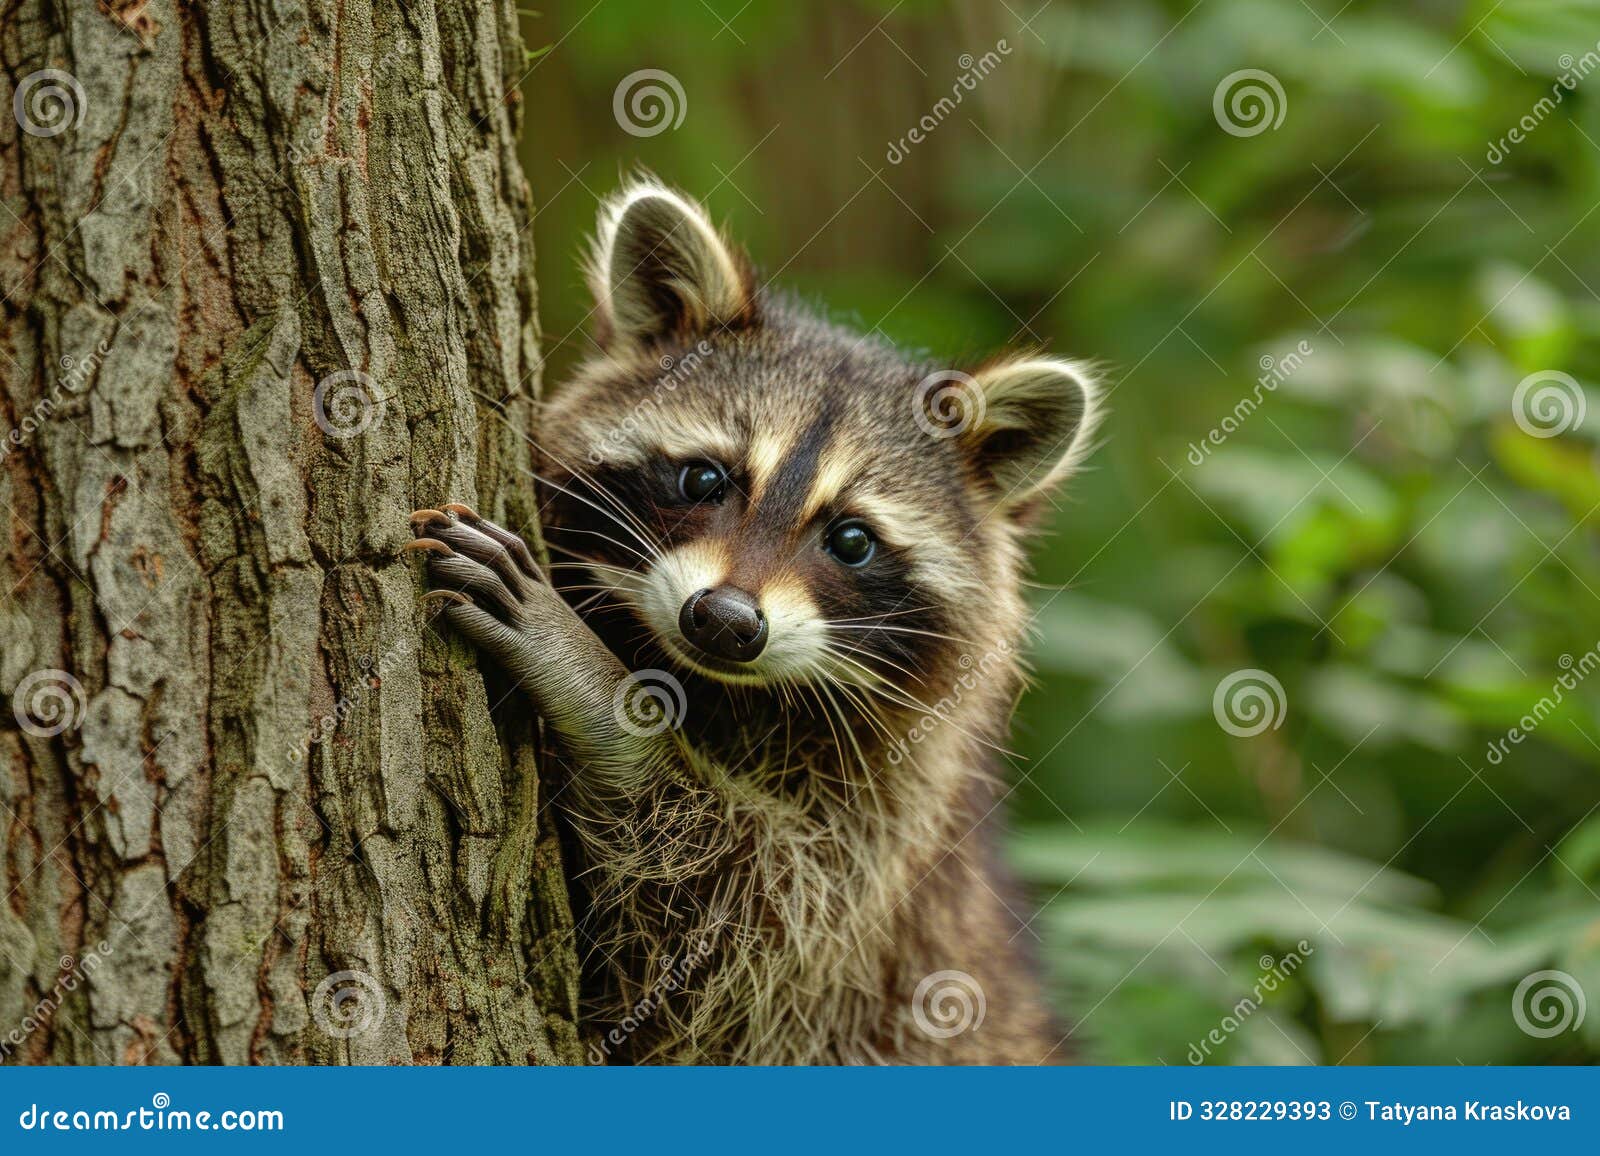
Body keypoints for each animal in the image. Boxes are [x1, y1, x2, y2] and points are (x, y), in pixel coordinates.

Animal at [406, 179, 1100, 1064]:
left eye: (852, 541)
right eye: (704, 478)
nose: (725, 621)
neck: (715, 688)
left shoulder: (891, 828)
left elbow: (739, 934)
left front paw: (599, 696)